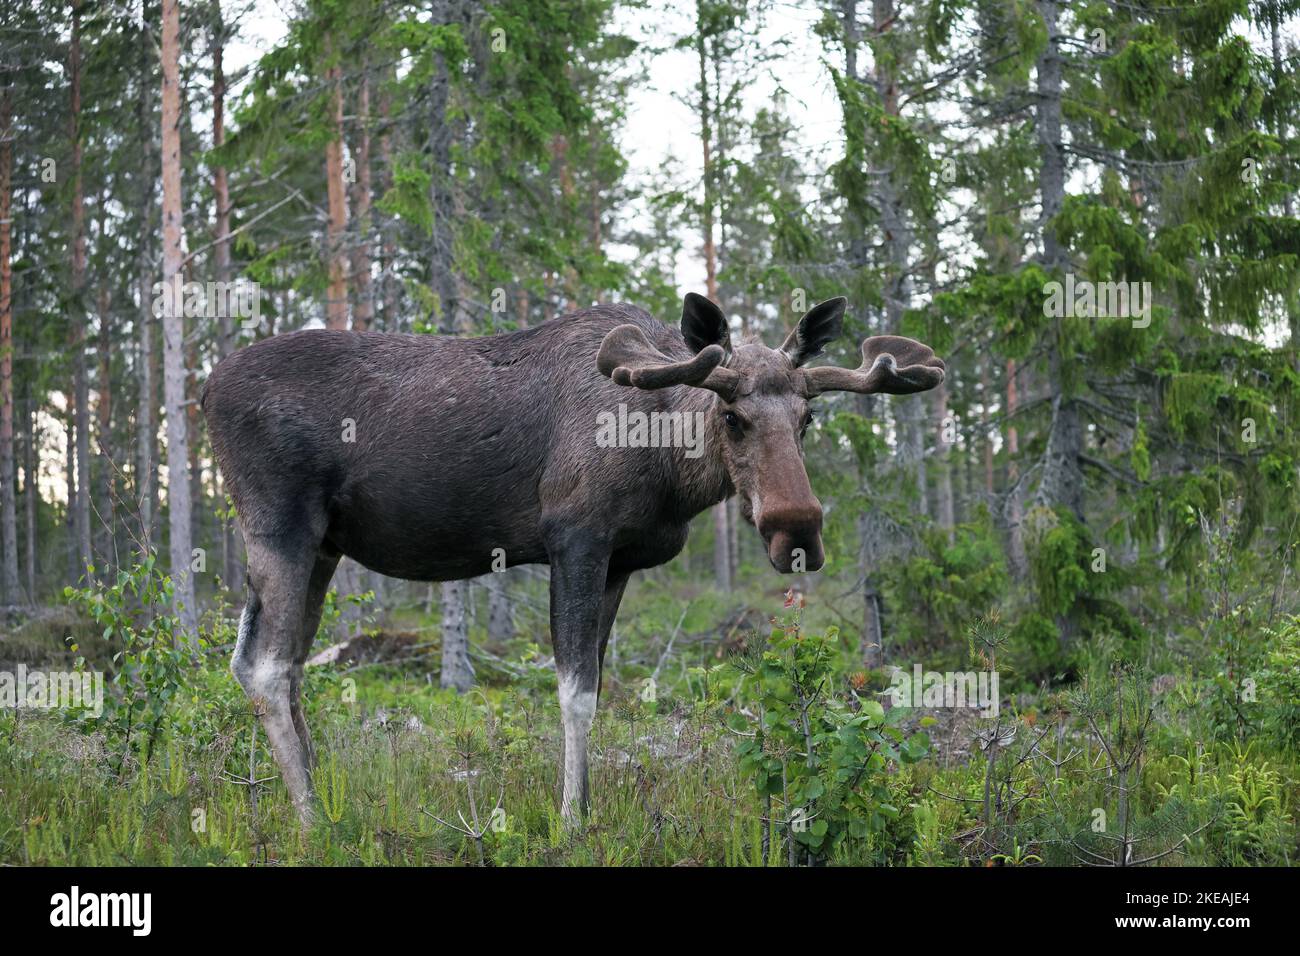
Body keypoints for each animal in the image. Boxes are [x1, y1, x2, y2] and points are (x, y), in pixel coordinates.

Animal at [200, 293, 945, 826]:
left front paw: (581, 805)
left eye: (807, 419)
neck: (666, 462)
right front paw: (570, 819)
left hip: (325, 545)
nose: (798, 533)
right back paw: (311, 821)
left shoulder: (620, 562)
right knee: (265, 666)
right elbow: (575, 691)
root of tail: (202, 393)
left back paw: (319, 797)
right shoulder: (576, 537)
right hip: (280, 524)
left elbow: (597, 683)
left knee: (283, 665)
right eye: (732, 417)